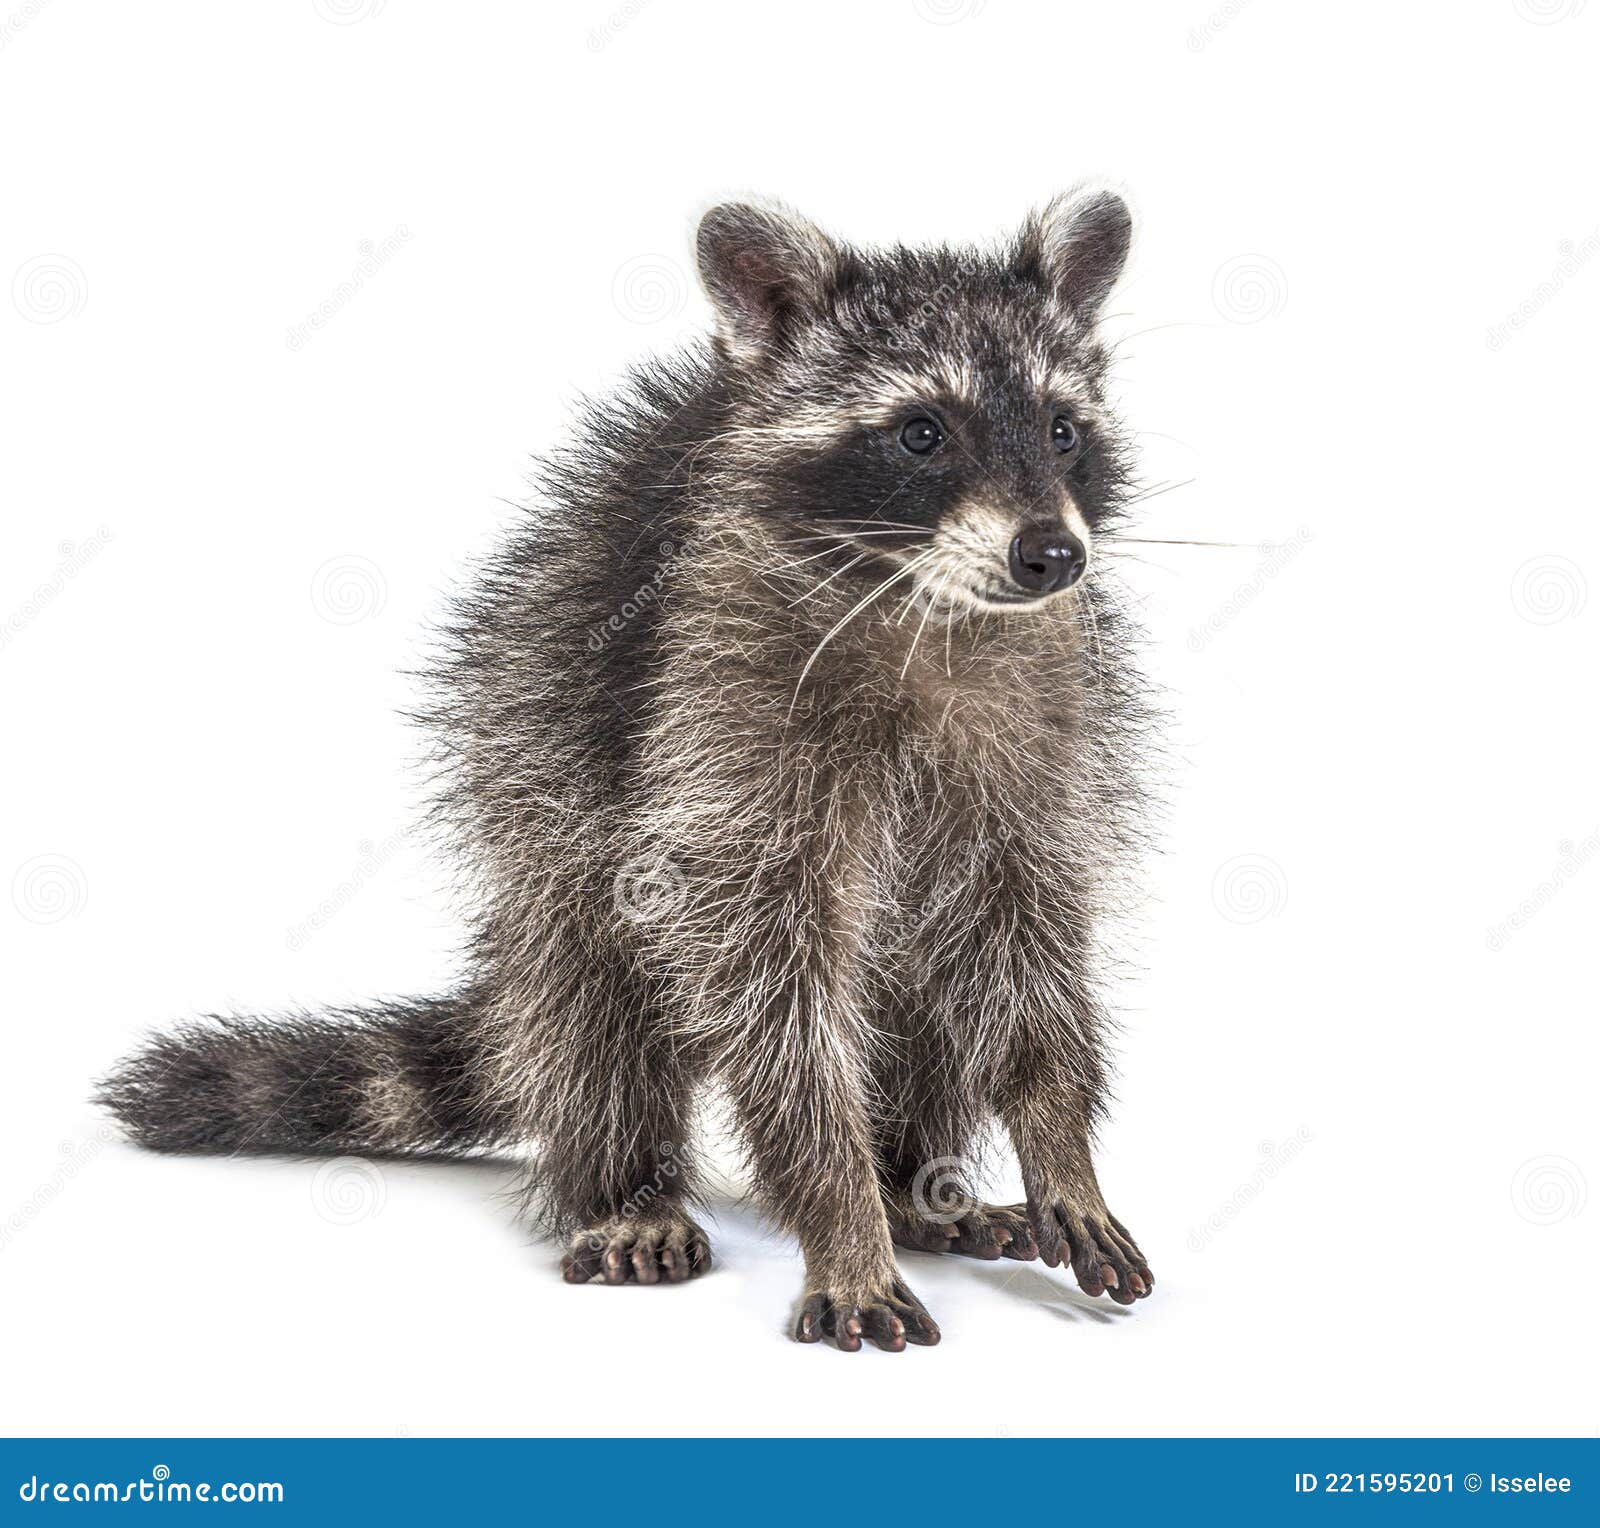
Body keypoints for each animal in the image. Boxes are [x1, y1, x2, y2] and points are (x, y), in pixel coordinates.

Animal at [100, 190, 1159, 1351]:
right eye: (921, 431)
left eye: (1061, 429)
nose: (1050, 554)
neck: (922, 601)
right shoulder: (715, 703)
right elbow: (763, 978)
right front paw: (836, 1206)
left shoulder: (1045, 722)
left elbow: (1027, 941)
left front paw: (1056, 1135)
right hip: (539, 788)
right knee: (591, 1001)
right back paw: (633, 1185)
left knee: (930, 985)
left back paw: (914, 1183)